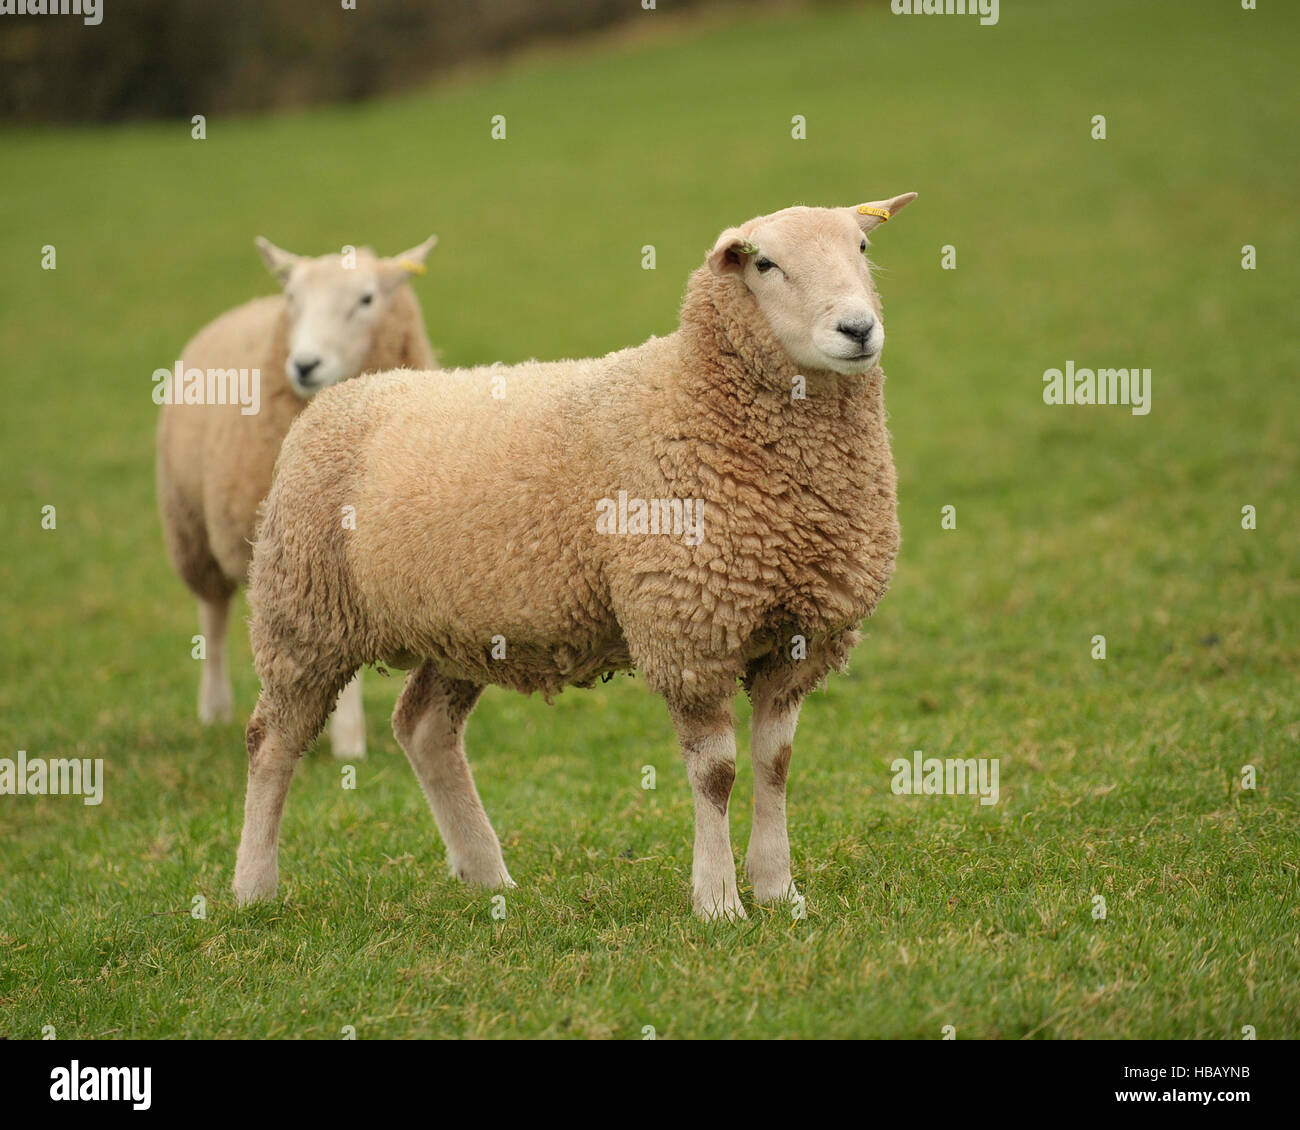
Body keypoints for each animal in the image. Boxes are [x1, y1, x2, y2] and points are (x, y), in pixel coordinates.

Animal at [156, 235, 438, 758]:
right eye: (293, 299)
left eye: (367, 299)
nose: (304, 364)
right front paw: (347, 738)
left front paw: (348, 738)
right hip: (191, 526)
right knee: (214, 617)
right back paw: (214, 707)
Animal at [232, 195, 915, 918]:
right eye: (765, 264)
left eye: (862, 249)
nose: (857, 329)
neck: (692, 391)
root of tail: (345, 395)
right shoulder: (687, 632)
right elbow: (717, 773)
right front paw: (719, 901)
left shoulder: (800, 638)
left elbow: (775, 764)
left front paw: (779, 889)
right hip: (302, 611)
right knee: (271, 741)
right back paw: (253, 886)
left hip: (460, 628)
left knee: (424, 730)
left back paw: (486, 873)